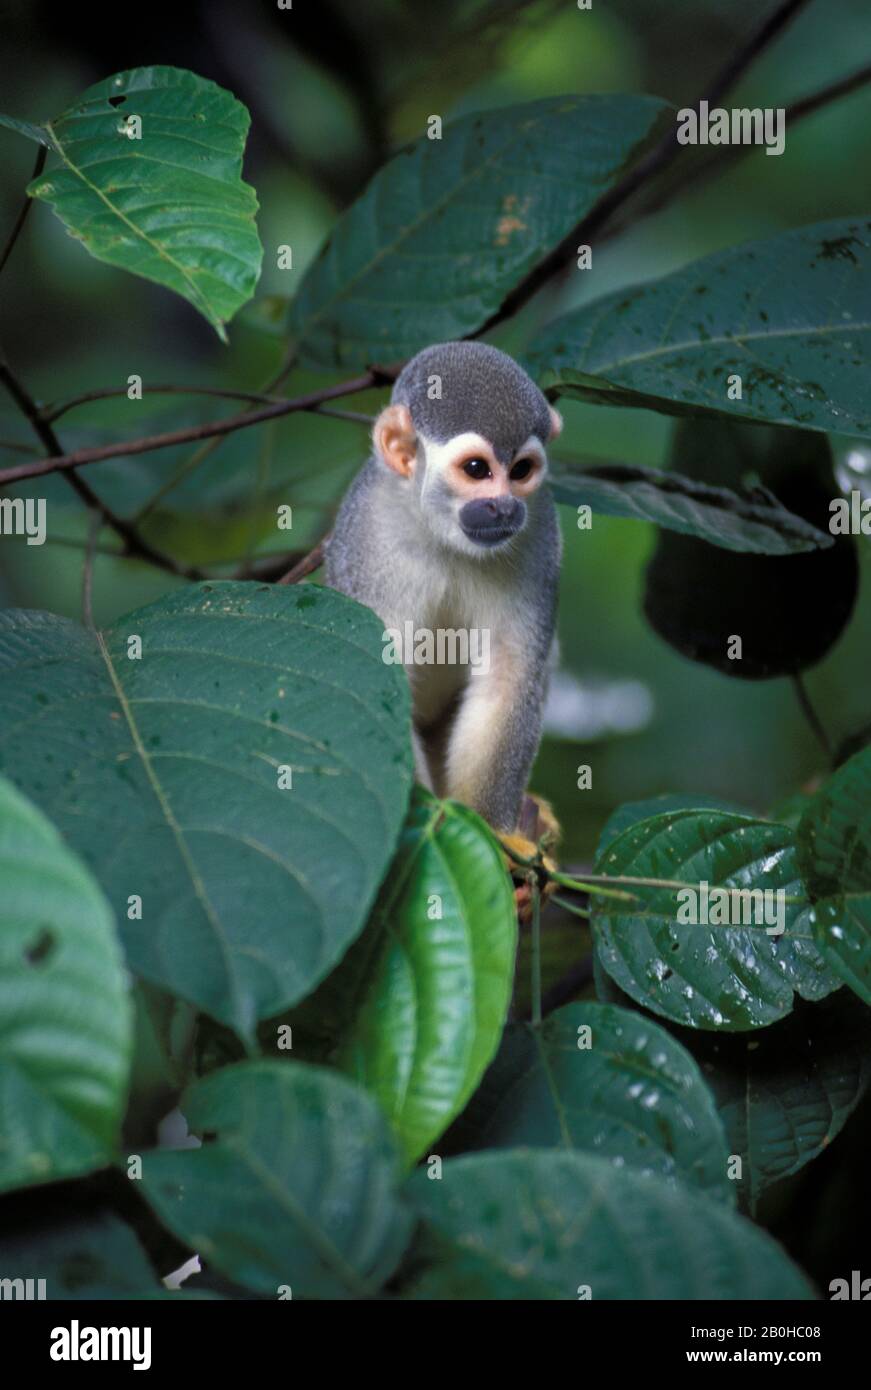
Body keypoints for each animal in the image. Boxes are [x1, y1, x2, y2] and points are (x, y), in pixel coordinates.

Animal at [325, 340, 562, 833]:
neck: (442, 533)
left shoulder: (540, 530)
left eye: (521, 470)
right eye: (476, 469)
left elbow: (508, 677)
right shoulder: (367, 537)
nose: (503, 508)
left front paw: (497, 835)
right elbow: (380, 681)